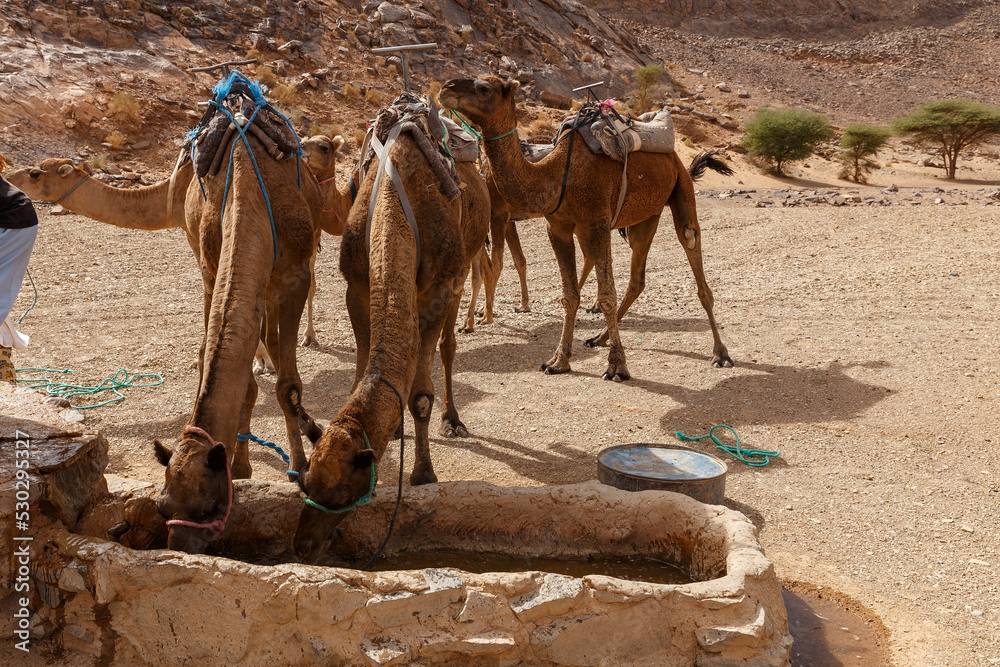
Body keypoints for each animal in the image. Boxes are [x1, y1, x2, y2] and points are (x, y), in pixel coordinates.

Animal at [151, 82, 324, 553]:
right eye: (162, 507)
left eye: (209, 507)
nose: (179, 548)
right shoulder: (215, 266)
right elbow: (244, 379)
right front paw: (241, 466)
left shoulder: (295, 275)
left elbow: (287, 386)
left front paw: (301, 468)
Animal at [293, 106, 490, 564]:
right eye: (304, 483)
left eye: (343, 493)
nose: (301, 545)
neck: (394, 215)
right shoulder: (358, 286)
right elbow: (362, 369)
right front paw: (395, 428)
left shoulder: (437, 289)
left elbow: (420, 395)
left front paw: (423, 472)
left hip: (462, 268)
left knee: (449, 348)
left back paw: (453, 420)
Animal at [440, 76, 732, 380]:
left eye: (484, 88)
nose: (446, 88)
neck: (556, 174)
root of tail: (675, 155)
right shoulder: (558, 226)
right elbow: (569, 296)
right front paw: (558, 360)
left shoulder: (597, 223)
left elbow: (606, 296)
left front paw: (617, 366)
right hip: (646, 215)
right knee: (636, 278)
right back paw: (598, 338)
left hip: (680, 188)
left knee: (692, 251)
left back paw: (720, 353)